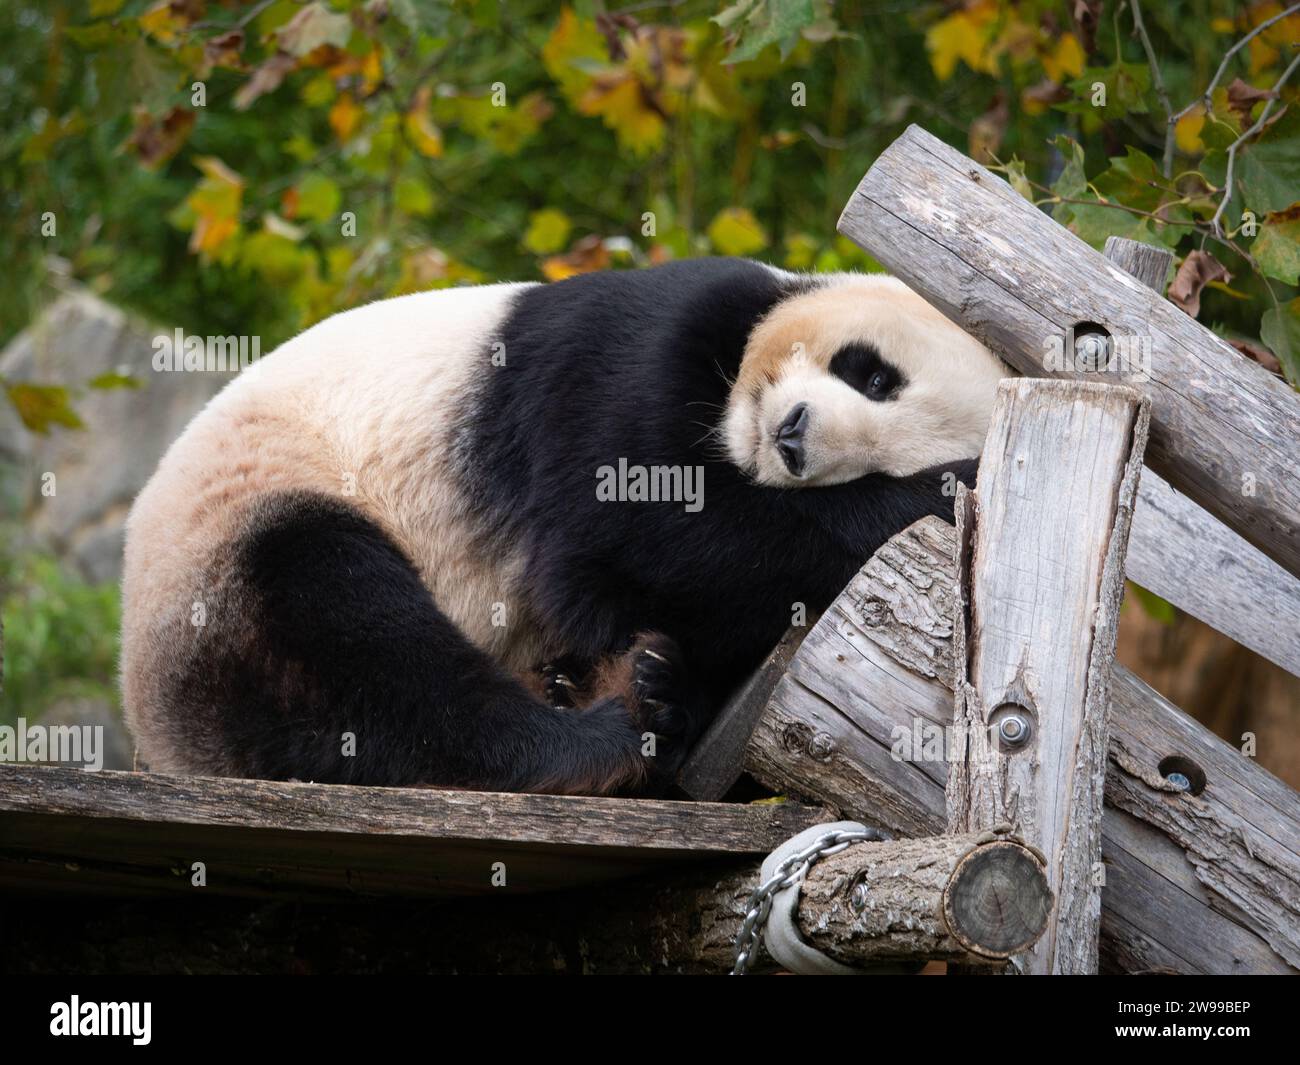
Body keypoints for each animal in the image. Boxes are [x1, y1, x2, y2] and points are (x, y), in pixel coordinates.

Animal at [121, 257, 1006, 795]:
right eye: (874, 374)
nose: (791, 439)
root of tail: (153, 725)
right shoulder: (633, 350)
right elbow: (635, 529)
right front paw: (934, 491)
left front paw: (671, 680)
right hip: (250, 514)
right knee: (349, 632)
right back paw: (593, 741)